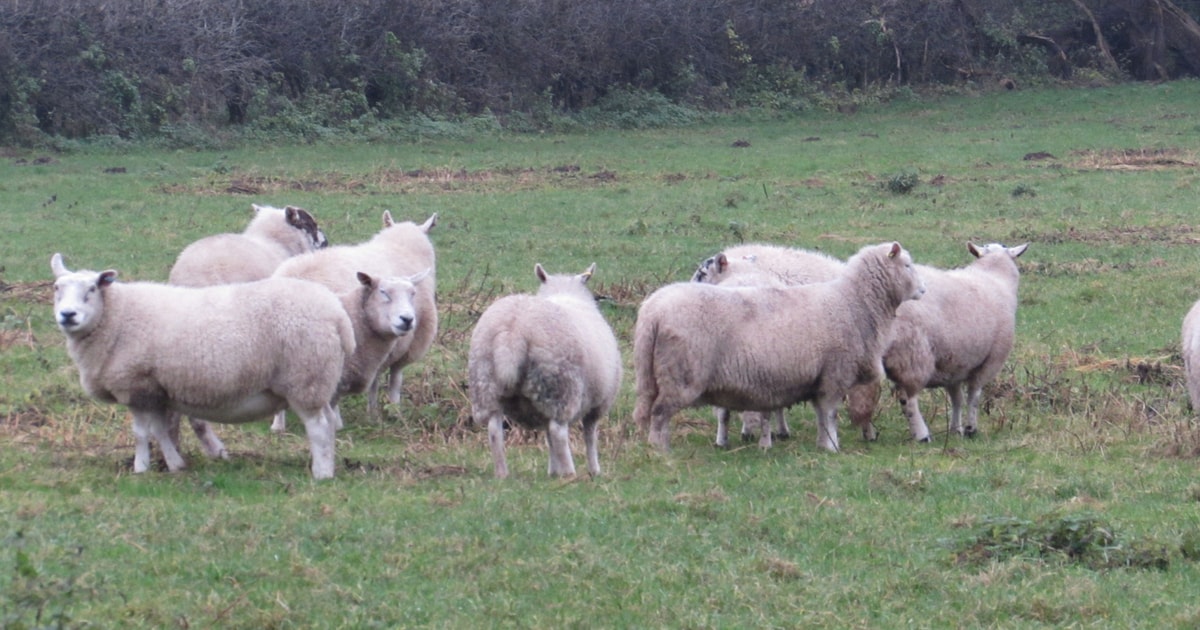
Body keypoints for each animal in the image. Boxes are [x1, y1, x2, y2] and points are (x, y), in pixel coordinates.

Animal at [51, 253, 355, 479]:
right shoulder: (157, 390)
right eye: (56, 289)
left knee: (318, 426)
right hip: (318, 380)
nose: (68, 315)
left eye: (92, 289)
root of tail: (337, 314)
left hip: (305, 378)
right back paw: (327, 465)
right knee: (328, 422)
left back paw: (321, 473)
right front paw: (175, 465)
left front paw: (141, 468)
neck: (115, 318)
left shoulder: (136, 386)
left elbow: (141, 433)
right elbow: (161, 430)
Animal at [274, 211, 437, 420]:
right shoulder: (405, 344)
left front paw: (373, 413)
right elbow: (395, 380)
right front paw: (392, 411)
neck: (401, 246)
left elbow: (376, 379)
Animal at [467, 263, 623, 478]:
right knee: (559, 432)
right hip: (560, 386)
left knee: (494, 430)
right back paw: (570, 473)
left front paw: (552, 470)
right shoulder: (597, 404)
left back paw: (502, 473)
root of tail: (512, 332)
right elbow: (589, 435)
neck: (565, 292)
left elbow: (548, 437)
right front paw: (594, 470)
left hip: (486, 384)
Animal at [849, 242, 1028, 441]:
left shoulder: (955, 364)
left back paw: (869, 433)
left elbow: (957, 398)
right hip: (912, 352)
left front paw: (956, 429)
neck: (994, 275)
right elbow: (974, 396)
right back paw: (921, 435)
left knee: (862, 394)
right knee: (908, 398)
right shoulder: (990, 360)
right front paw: (970, 428)